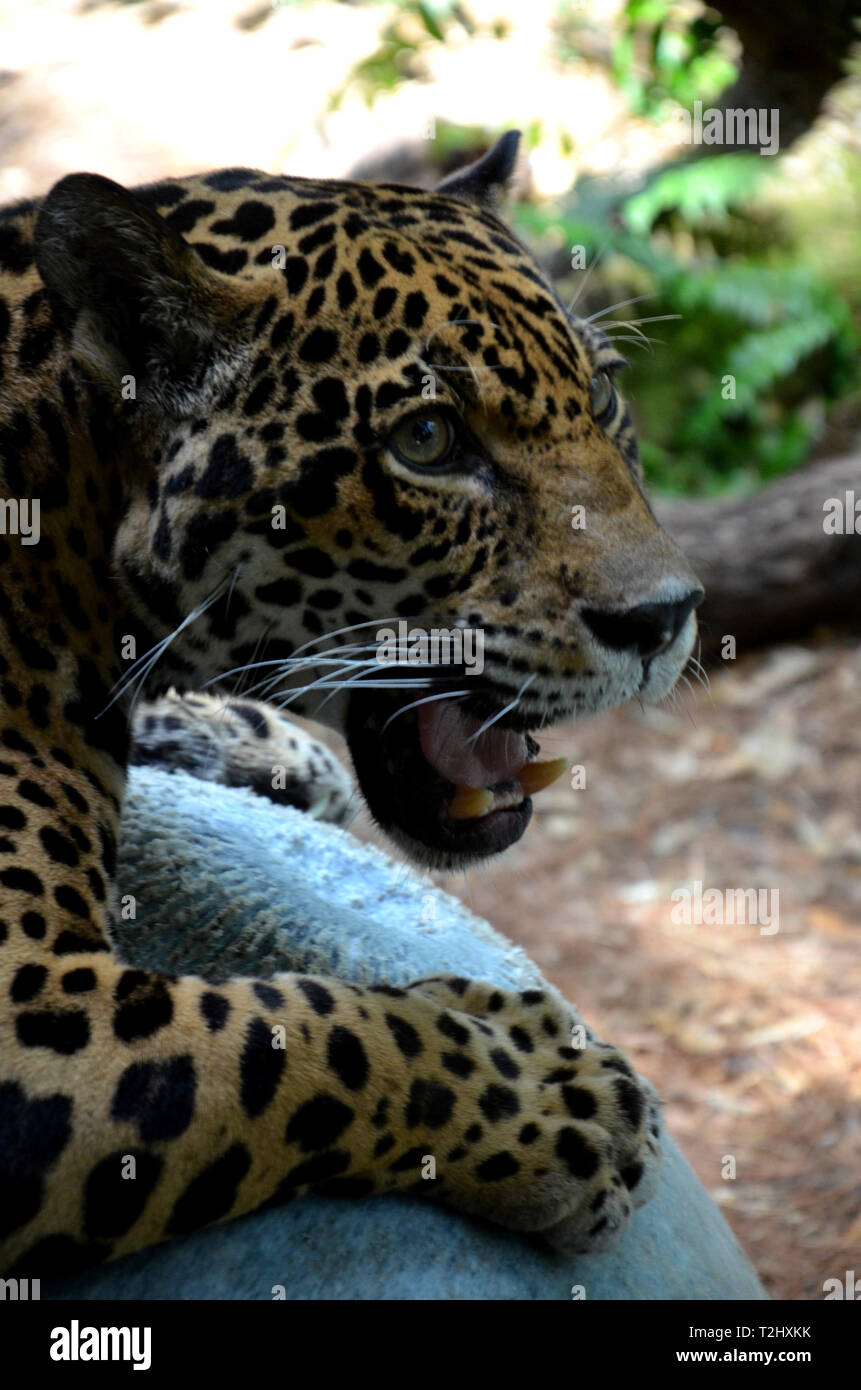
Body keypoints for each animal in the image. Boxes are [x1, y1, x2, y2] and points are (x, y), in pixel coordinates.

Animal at [0, 129, 703, 1280]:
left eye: (602, 397)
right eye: (426, 442)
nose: (668, 615)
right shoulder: (29, 1018)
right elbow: (297, 1039)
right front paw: (556, 1095)